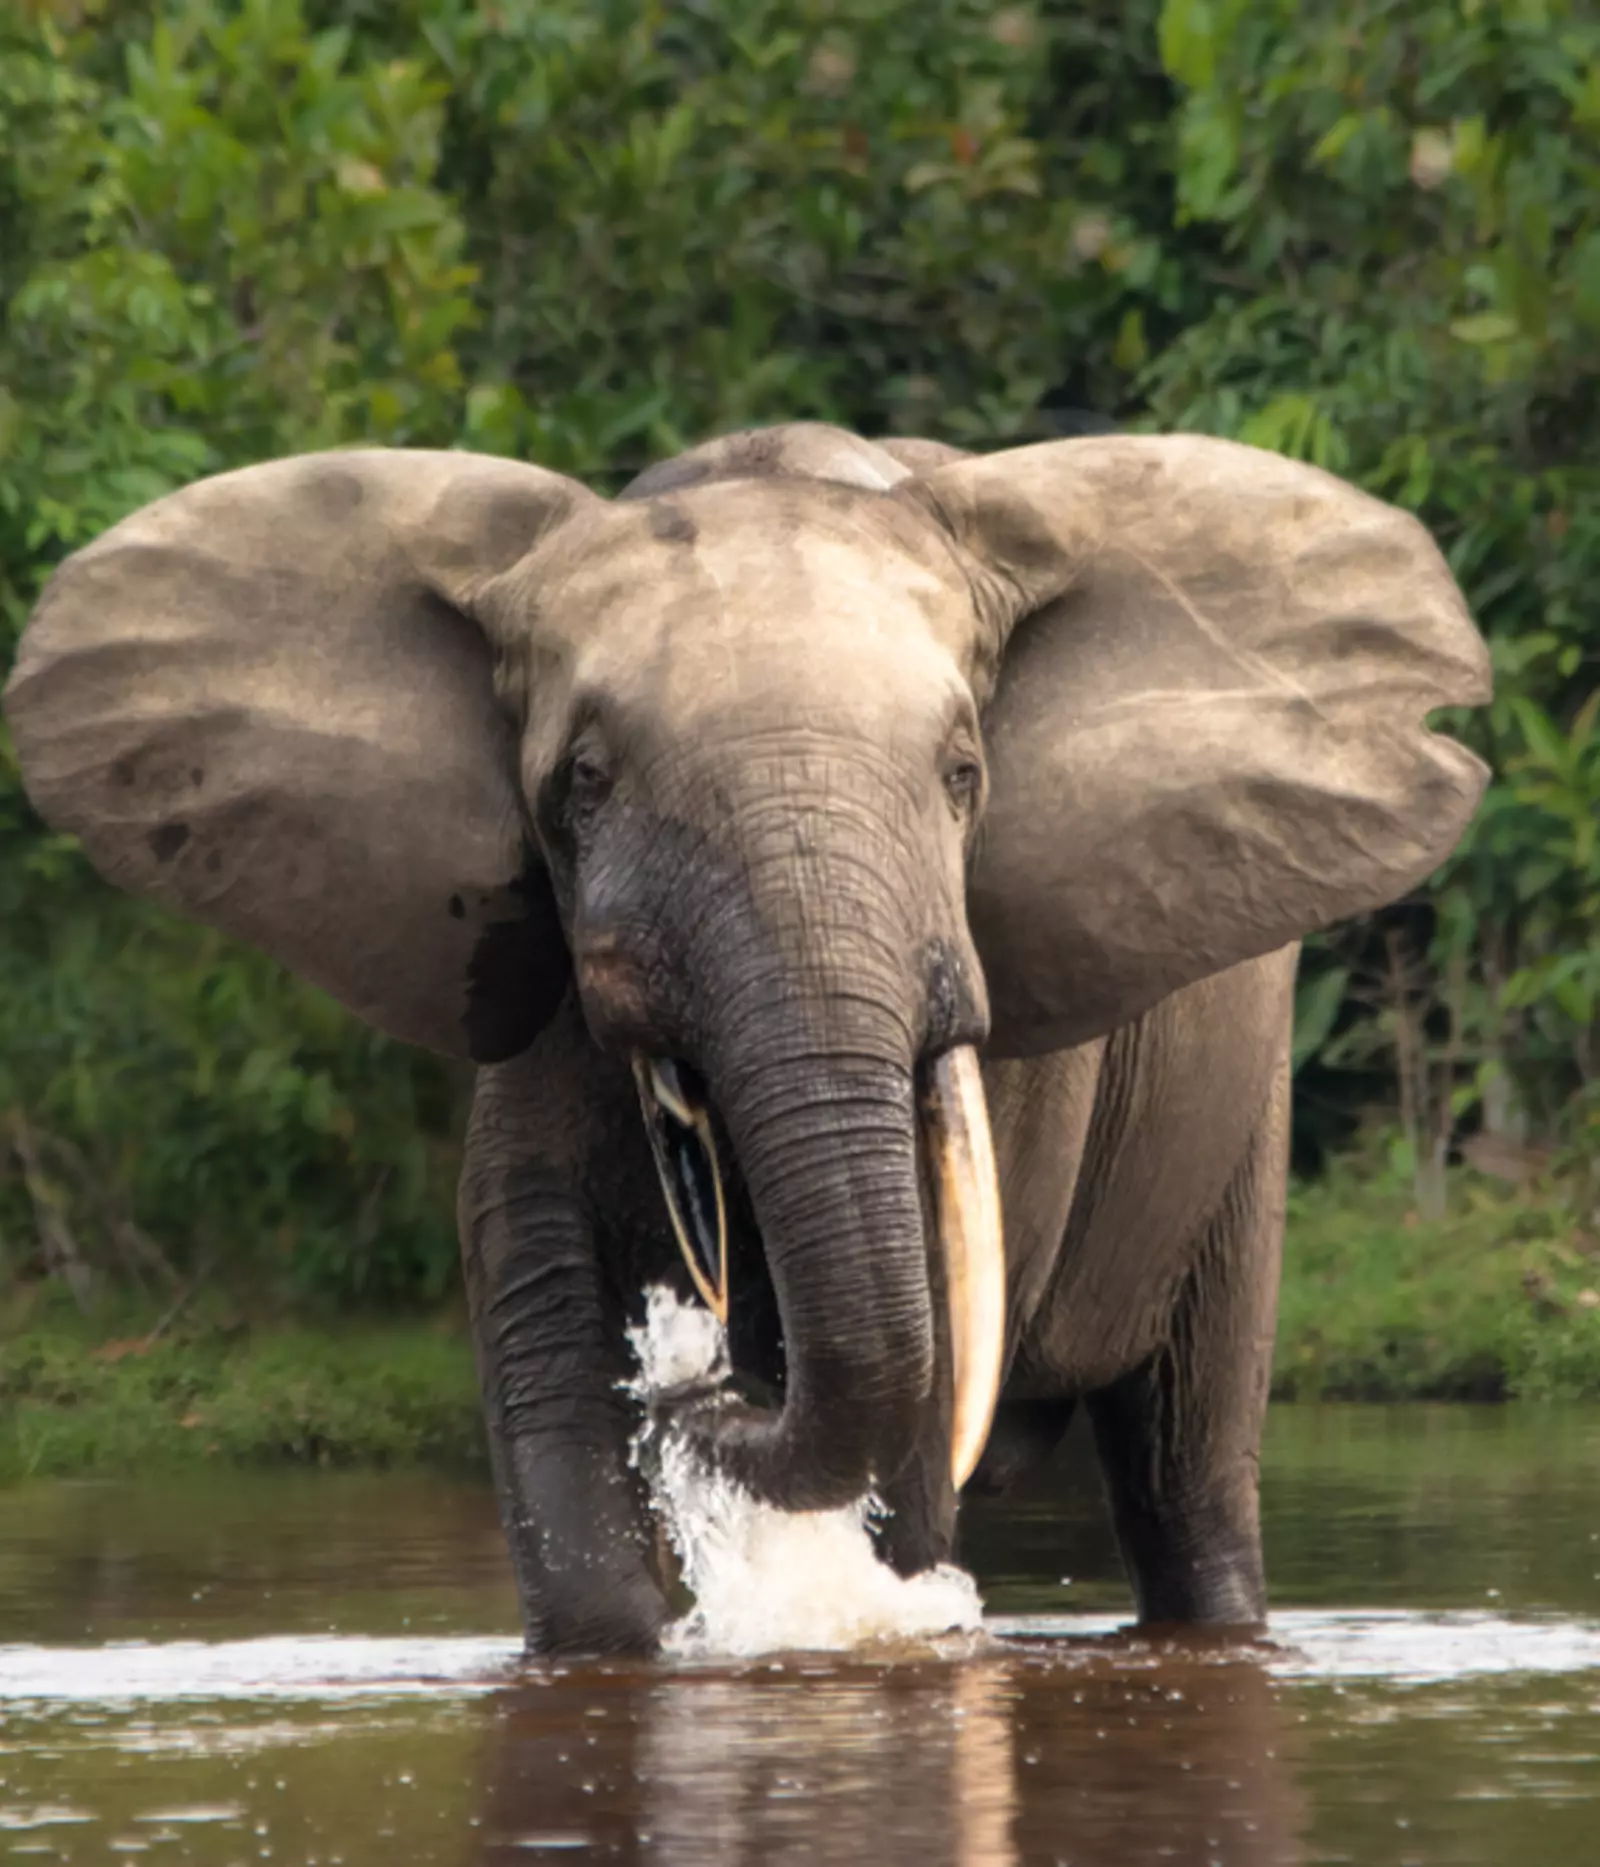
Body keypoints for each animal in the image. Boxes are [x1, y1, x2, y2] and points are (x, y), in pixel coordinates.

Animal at [3, 421, 1490, 1656]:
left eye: (963, 773)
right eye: (584, 780)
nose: (704, 1374)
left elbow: (924, 1377)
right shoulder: (544, 985)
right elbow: (545, 1343)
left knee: (1189, 1469)